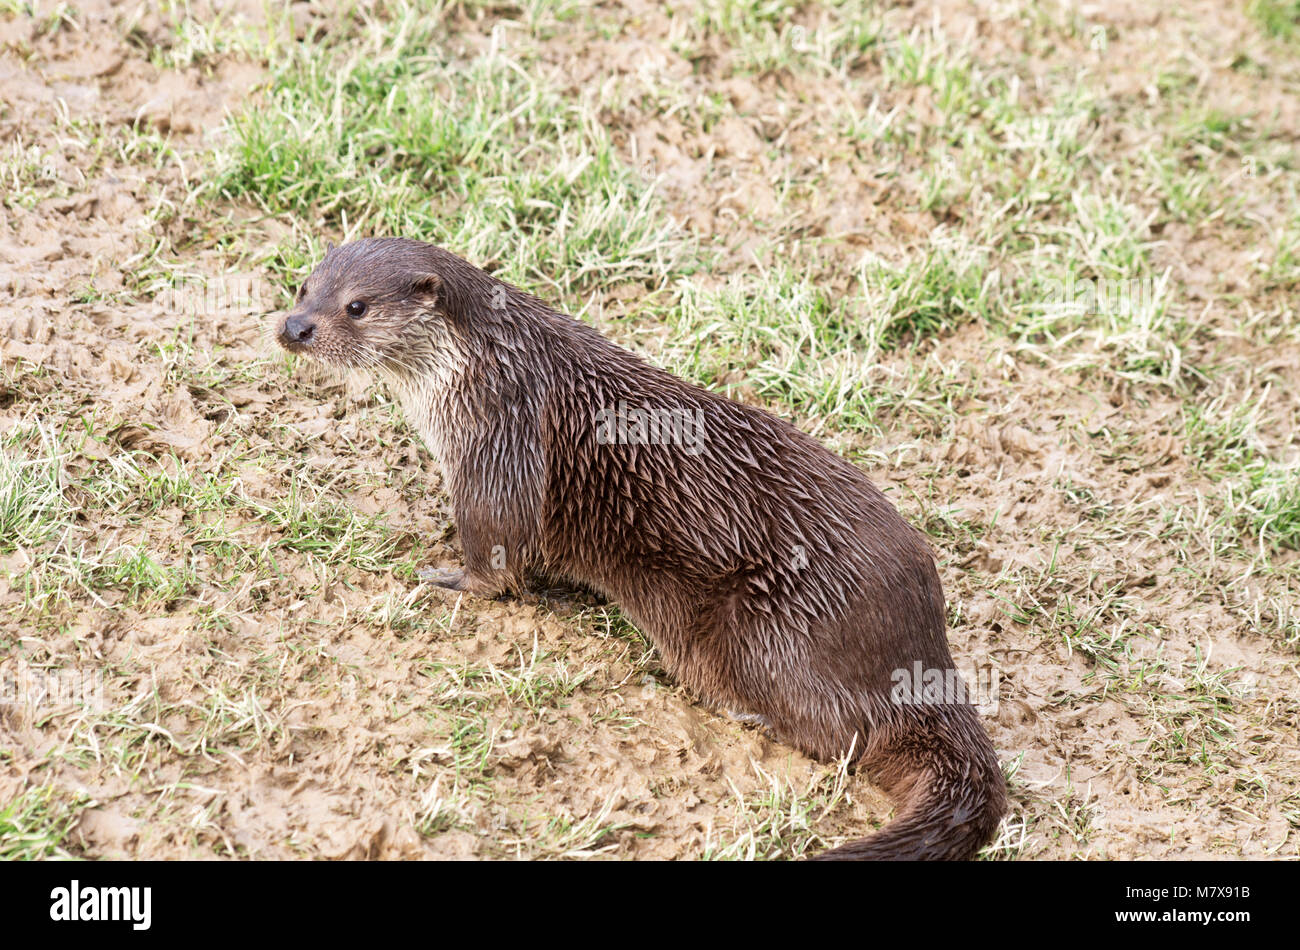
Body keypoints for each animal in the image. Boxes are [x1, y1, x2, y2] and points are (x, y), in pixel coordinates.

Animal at [275, 237, 1006, 860]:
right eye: (305, 286)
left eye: (356, 306)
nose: (294, 328)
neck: (483, 364)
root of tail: (923, 654)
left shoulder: (500, 442)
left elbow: (497, 548)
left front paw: (446, 576)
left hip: (769, 631)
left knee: (845, 732)